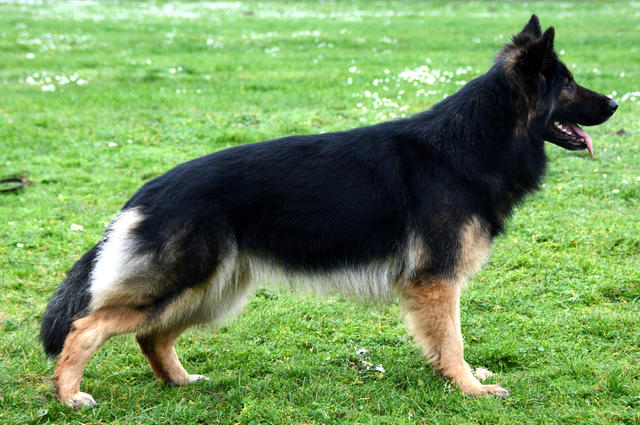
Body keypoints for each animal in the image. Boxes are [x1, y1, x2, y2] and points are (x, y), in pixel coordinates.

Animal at [40, 15, 617, 407]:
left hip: (214, 289)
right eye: (566, 84)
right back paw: (69, 395)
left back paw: (181, 382)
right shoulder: (436, 281)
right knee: (85, 328)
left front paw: (464, 380)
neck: (473, 143)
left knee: (151, 335)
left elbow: (448, 342)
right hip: (186, 282)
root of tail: (147, 191)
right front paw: (471, 388)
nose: (614, 103)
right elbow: (452, 342)